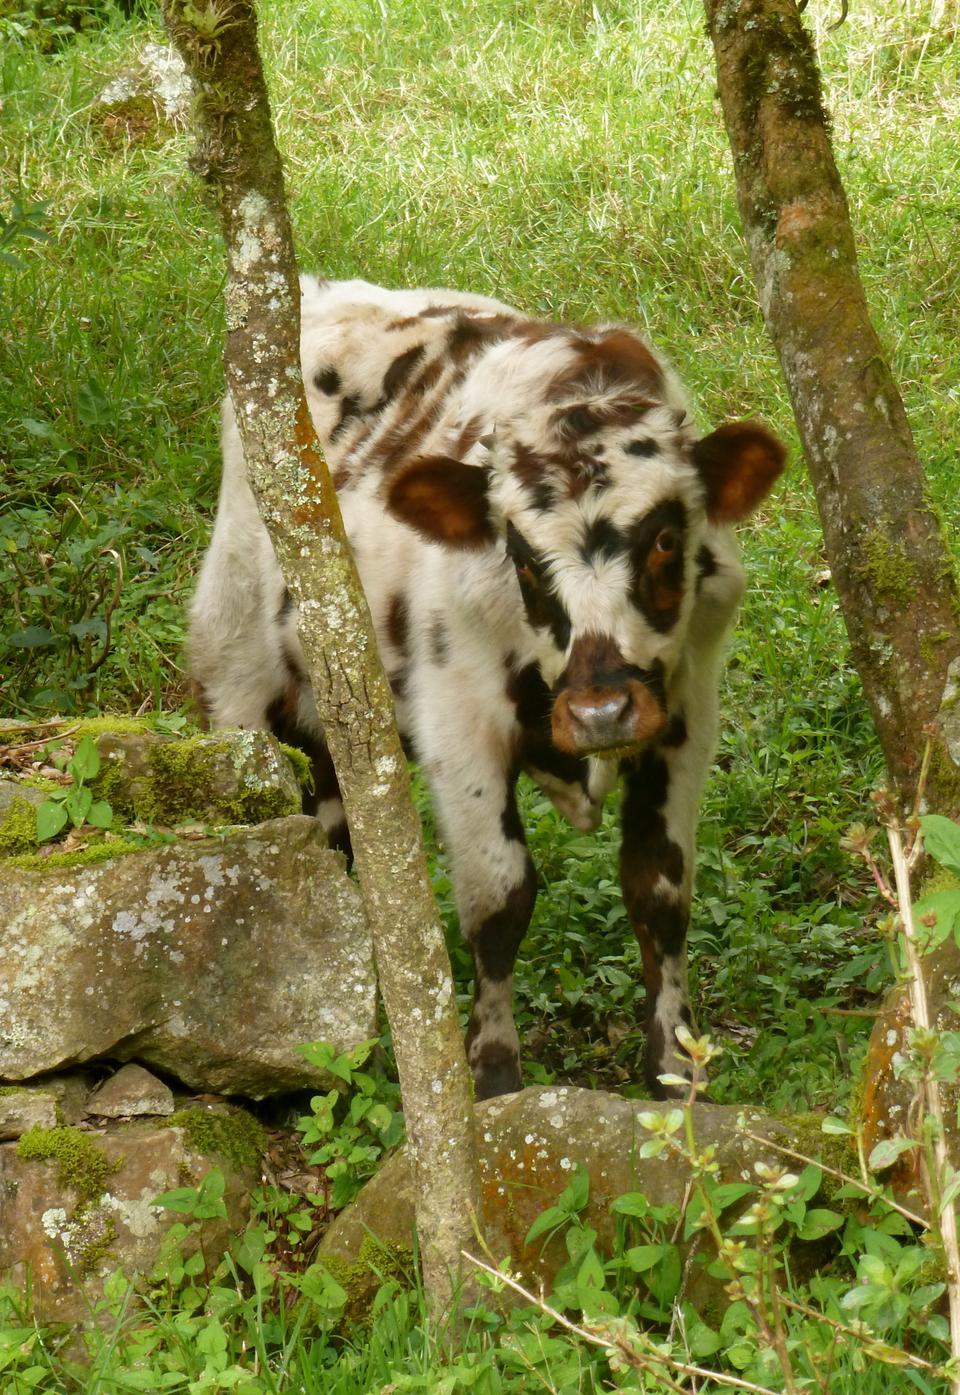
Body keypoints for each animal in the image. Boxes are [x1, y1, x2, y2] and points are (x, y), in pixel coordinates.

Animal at [189, 276, 785, 1101]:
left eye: (665, 538)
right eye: (523, 558)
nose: (601, 712)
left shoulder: (685, 714)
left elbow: (659, 886)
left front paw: (674, 1066)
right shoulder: (459, 723)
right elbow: (499, 896)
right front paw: (495, 1073)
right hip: (235, 658)